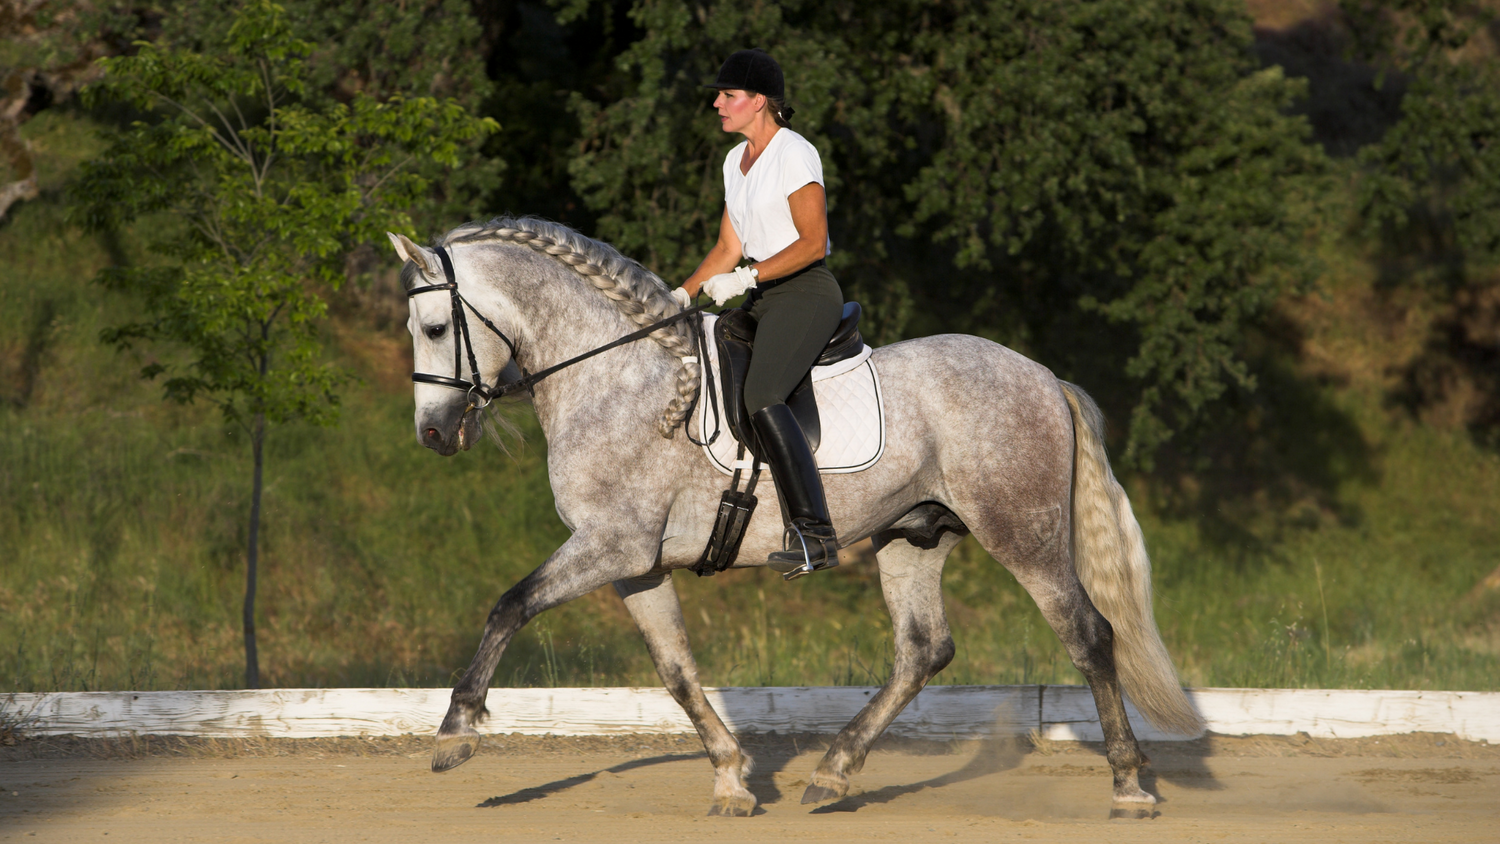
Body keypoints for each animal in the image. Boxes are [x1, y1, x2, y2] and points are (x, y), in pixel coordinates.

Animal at [386, 216, 1204, 817]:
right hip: (913, 535)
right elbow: (675, 670)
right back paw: (833, 773)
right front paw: (731, 779)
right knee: (922, 651)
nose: (432, 435)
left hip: (1023, 534)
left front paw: (455, 733)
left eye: (434, 329)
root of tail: (1040, 374)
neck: (615, 376)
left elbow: (509, 604)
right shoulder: (634, 563)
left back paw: (1129, 787)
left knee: (1088, 634)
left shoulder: (608, 546)